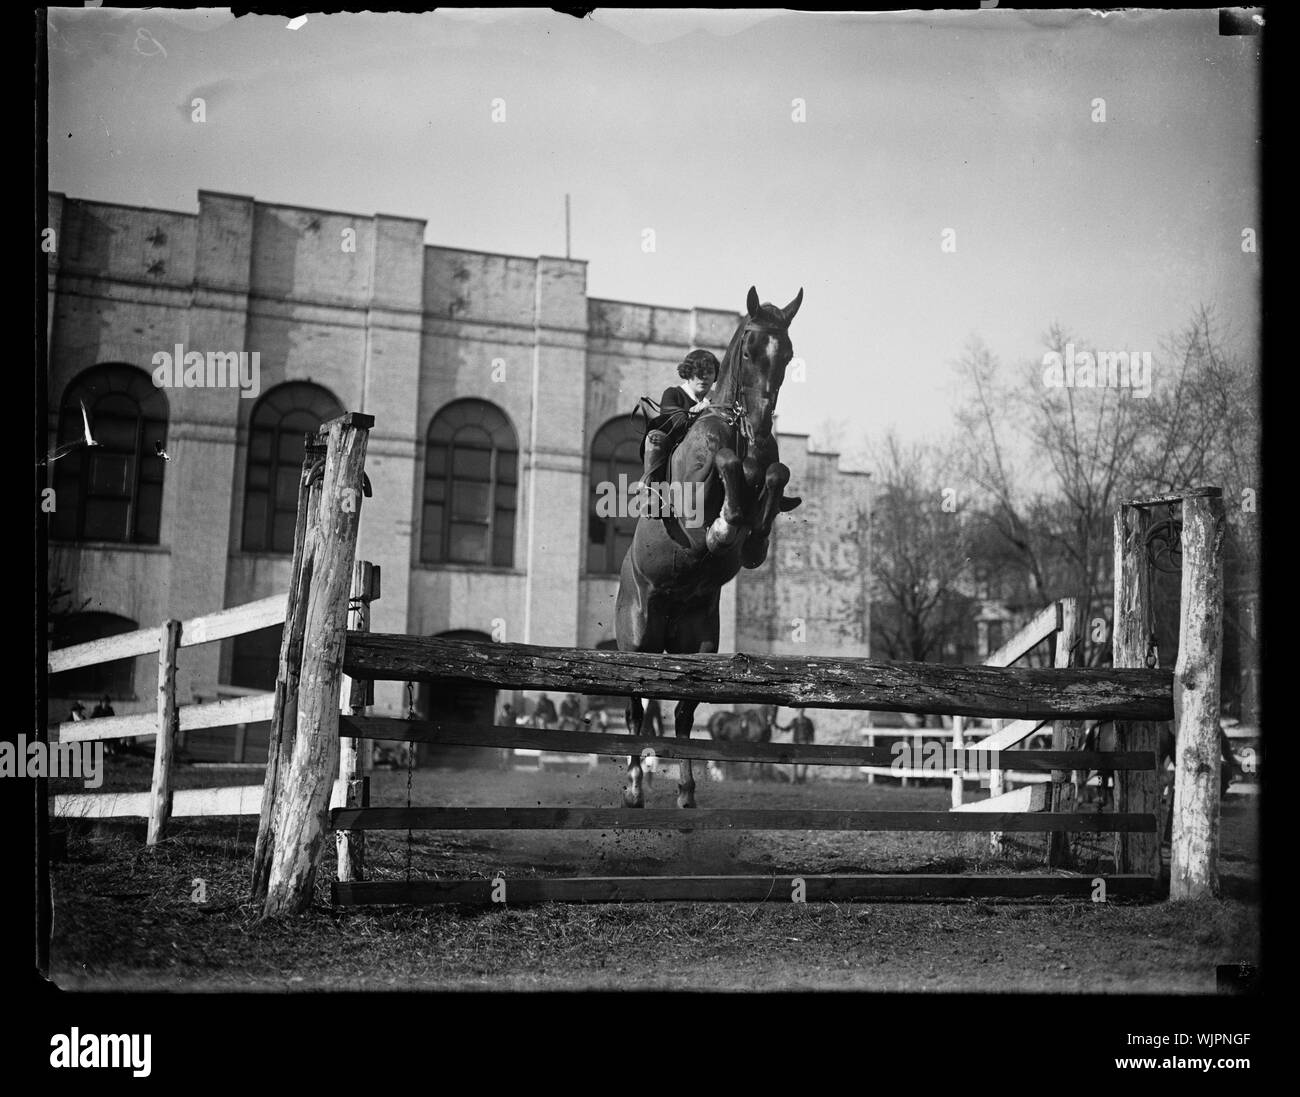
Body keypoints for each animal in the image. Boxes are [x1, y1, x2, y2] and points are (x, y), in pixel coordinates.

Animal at [616, 286, 804, 808]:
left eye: (788, 355)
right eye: (750, 348)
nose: (760, 427)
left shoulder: (767, 468)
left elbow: (775, 473)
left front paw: (755, 539)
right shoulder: (694, 499)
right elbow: (723, 468)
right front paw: (726, 527)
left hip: (697, 645)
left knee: (681, 712)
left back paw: (685, 790)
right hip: (636, 639)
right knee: (636, 708)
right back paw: (634, 788)